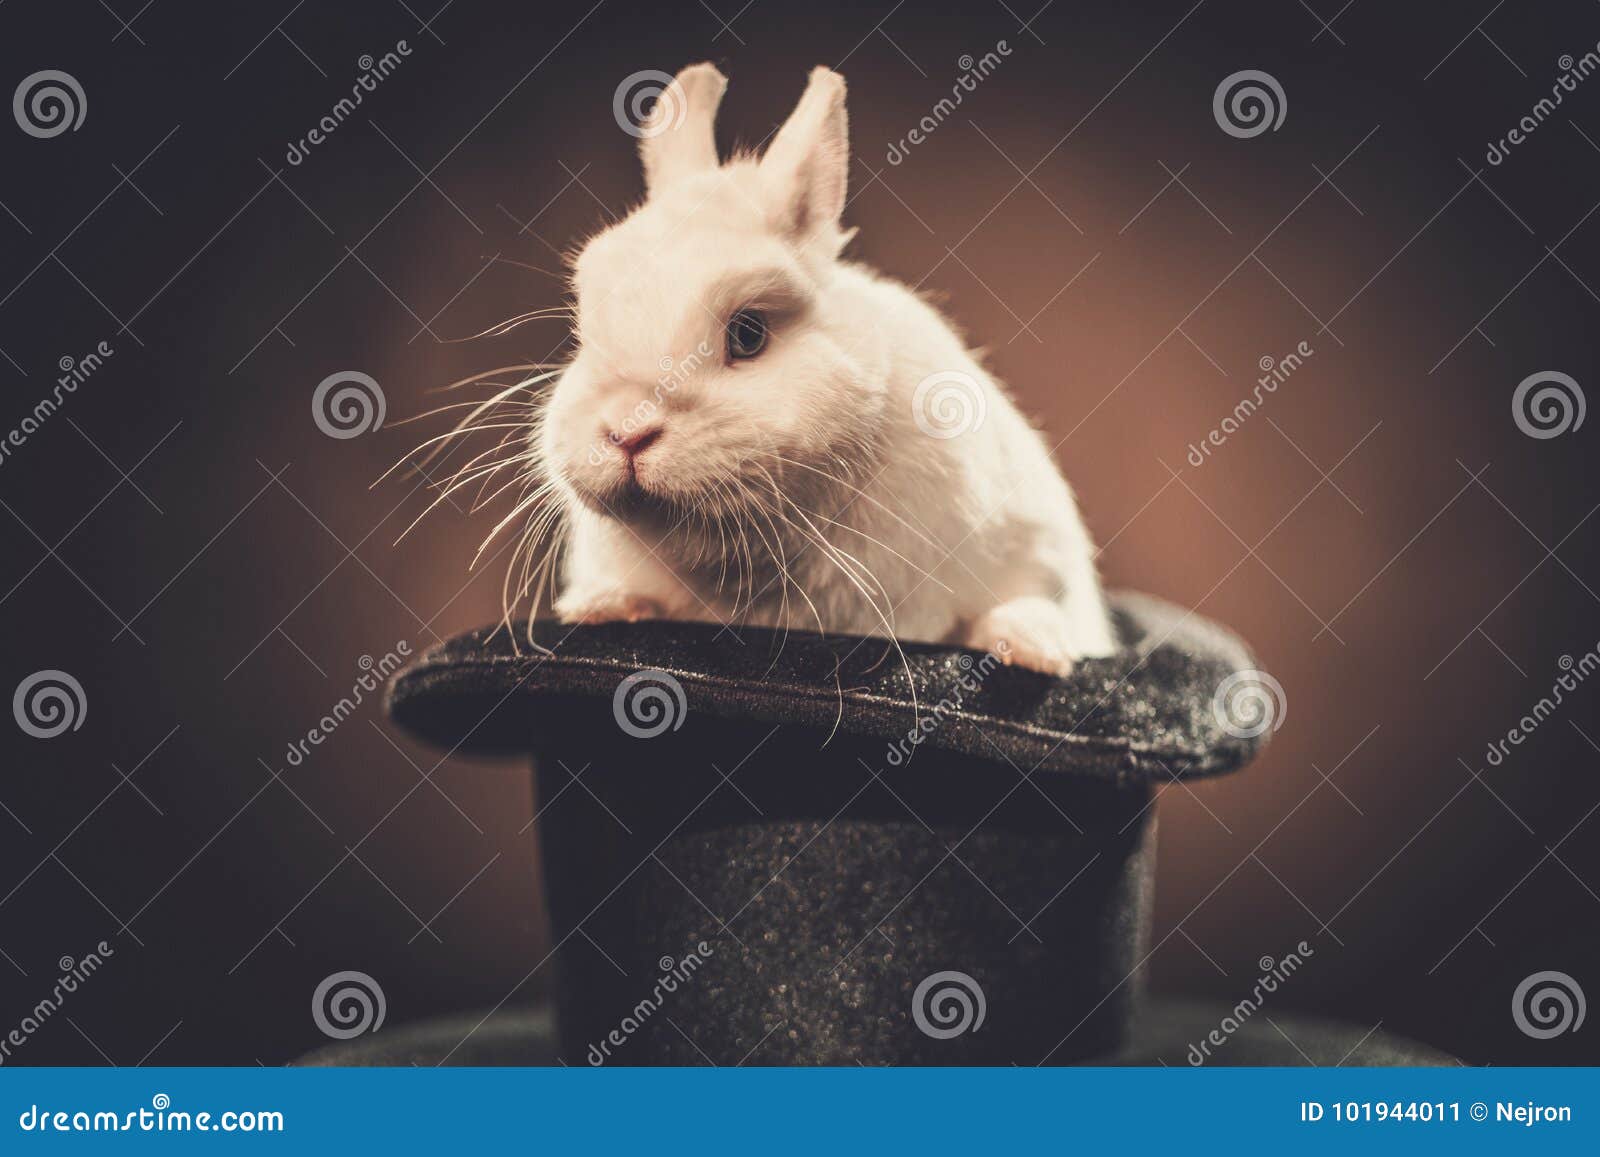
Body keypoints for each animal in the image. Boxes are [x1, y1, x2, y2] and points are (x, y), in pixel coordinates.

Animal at [532, 63, 1115, 675]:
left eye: (748, 333)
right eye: (585, 327)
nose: (626, 432)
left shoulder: (1033, 542)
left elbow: (1022, 598)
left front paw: (1031, 646)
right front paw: (602, 604)